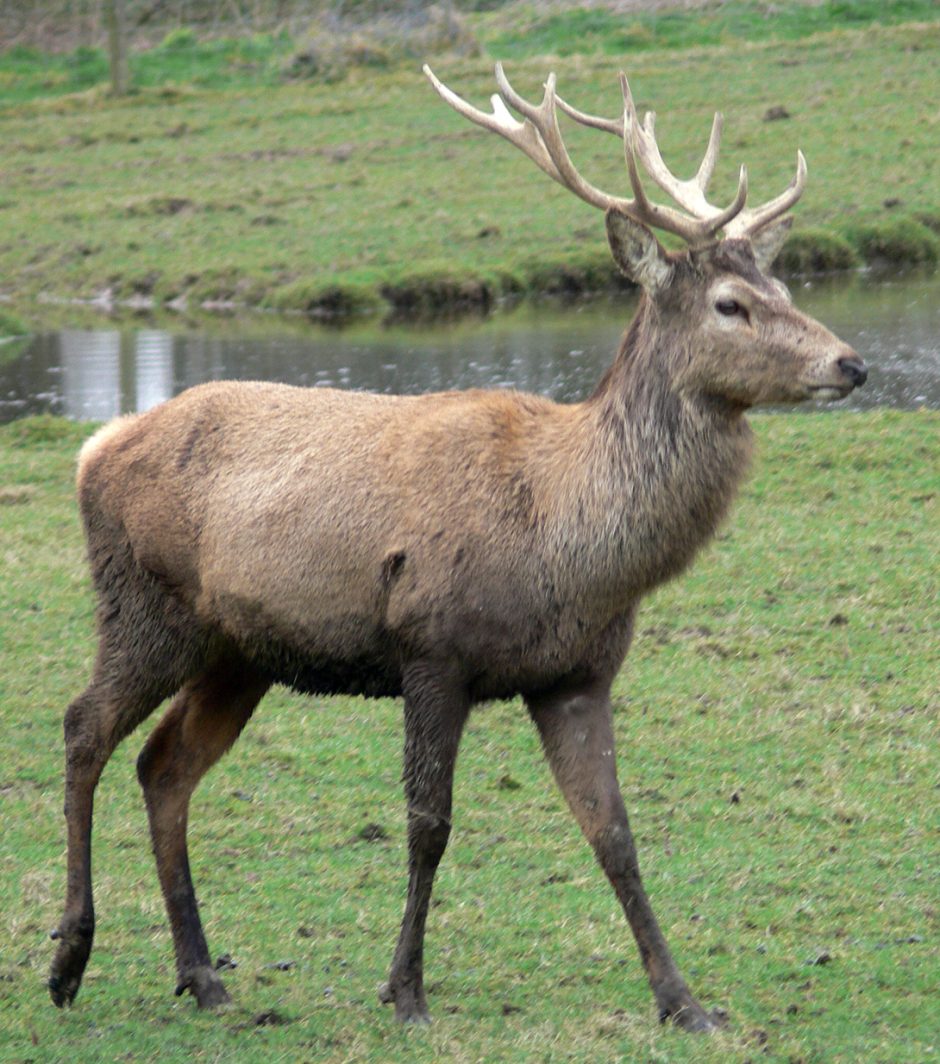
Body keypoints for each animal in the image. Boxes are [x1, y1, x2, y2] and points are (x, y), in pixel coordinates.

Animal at [48, 63, 867, 1032]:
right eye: (729, 304)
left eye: (788, 292)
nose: (851, 363)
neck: (566, 543)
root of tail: (95, 448)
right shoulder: (431, 648)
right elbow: (428, 824)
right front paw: (404, 989)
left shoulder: (576, 675)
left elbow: (616, 834)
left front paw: (684, 1001)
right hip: (143, 607)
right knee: (84, 729)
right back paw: (68, 961)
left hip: (238, 652)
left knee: (164, 766)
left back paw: (203, 974)